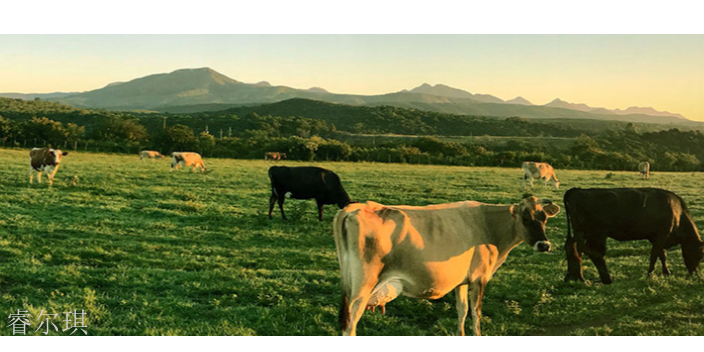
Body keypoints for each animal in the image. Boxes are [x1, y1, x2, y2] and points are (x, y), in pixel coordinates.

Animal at [334, 195, 560, 336]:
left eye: (544, 218)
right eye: (525, 218)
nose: (544, 245)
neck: (488, 224)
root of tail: (355, 208)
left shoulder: (462, 280)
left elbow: (462, 310)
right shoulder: (479, 278)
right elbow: (476, 313)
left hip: (349, 284)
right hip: (363, 286)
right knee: (351, 322)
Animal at [560, 187, 704, 284]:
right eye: (700, 254)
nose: (695, 273)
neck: (678, 212)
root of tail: (575, 190)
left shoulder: (657, 237)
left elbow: (662, 255)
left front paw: (666, 272)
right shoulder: (663, 235)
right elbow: (655, 255)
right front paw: (650, 274)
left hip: (581, 232)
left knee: (572, 247)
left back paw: (574, 277)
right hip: (595, 233)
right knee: (593, 253)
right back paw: (605, 278)